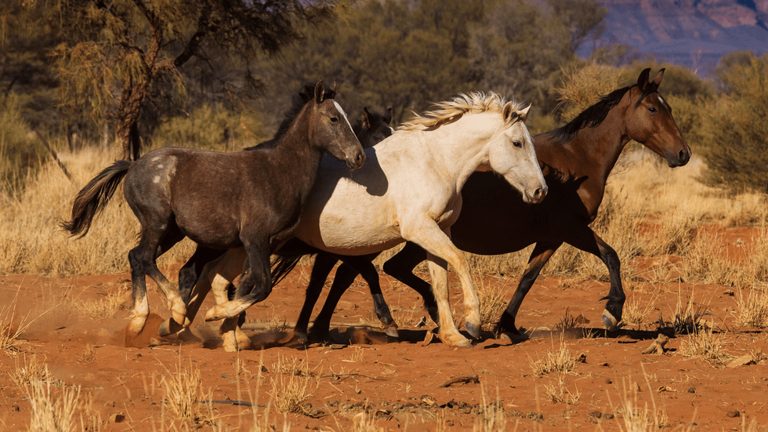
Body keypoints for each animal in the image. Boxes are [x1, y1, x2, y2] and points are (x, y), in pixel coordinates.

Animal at [61, 81, 366, 339]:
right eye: (334, 118)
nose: (359, 156)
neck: (279, 172)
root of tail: (133, 164)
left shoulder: (268, 243)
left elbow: (245, 284)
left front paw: (230, 330)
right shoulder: (255, 239)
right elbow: (262, 286)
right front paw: (216, 315)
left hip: (171, 233)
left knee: (137, 258)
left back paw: (147, 322)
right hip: (157, 224)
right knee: (143, 258)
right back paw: (172, 312)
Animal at [179, 92, 548, 350]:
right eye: (517, 142)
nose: (540, 191)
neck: (435, 161)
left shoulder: (437, 230)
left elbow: (440, 282)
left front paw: (451, 335)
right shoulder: (420, 230)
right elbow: (460, 261)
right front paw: (471, 323)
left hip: (246, 246)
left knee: (217, 278)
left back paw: (216, 330)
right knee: (208, 277)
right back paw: (198, 325)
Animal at [282, 68, 691, 341]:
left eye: (667, 107)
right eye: (654, 109)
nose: (683, 154)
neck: (577, 159)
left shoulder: (550, 237)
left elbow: (527, 278)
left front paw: (505, 325)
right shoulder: (571, 229)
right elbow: (611, 256)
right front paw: (612, 312)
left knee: (365, 270)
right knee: (349, 272)